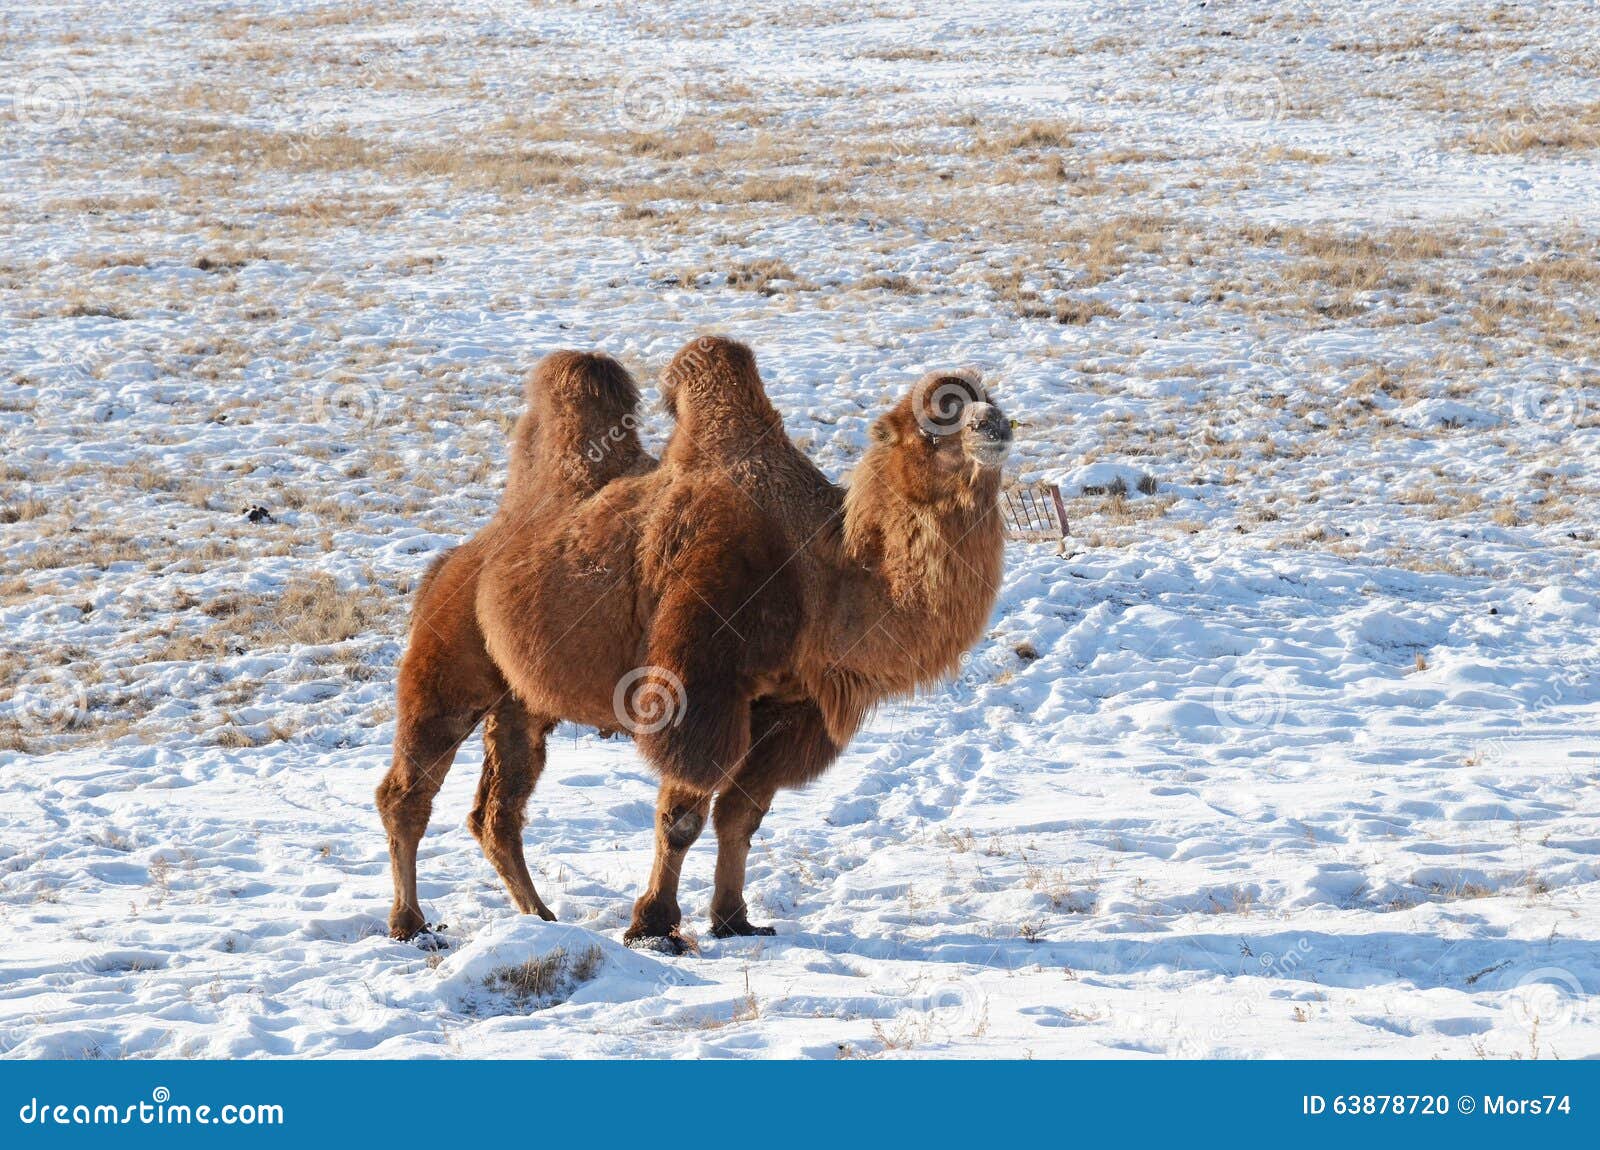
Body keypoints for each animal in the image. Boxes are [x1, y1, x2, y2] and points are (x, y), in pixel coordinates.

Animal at [376, 336, 1011, 949]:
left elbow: (742, 816)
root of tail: (452, 563)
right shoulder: (699, 687)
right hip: (449, 661)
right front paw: (655, 926)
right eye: (937, 419)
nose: (996, 424)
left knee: (497, 812)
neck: (818, 571)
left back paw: (539, 915)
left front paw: (734, 919)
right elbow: (682, 816)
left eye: (987, 401)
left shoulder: (787, 706)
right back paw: (411, 924)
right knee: (408, 792)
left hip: (519, 703)